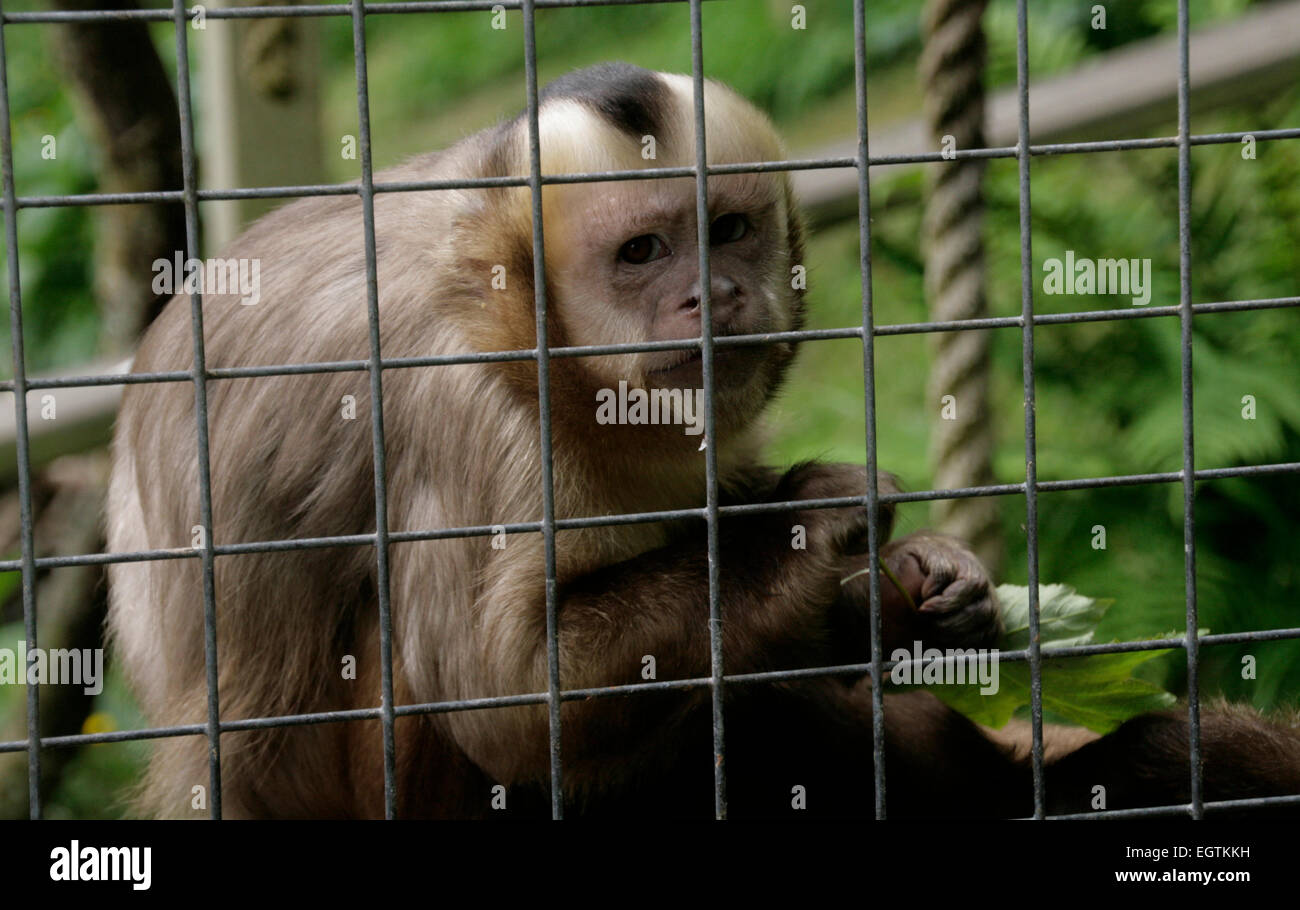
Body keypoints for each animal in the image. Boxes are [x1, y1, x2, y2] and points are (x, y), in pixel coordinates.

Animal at [106, 63, 1300, 819]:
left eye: (725, 231)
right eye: (642, 251)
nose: (709, 294)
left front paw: (920, 583)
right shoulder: (452, 390)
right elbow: (505, 697)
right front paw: (822, 540)